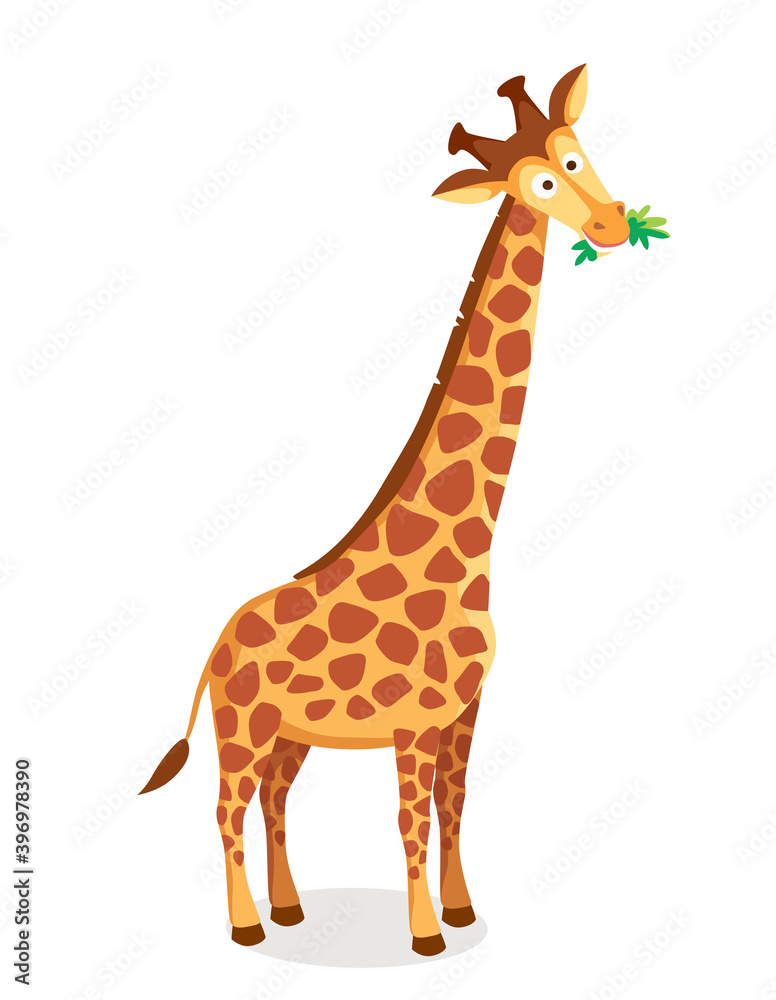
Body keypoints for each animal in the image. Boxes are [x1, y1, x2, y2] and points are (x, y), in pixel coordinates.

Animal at [139, 65, 632, 956]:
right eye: (543, 182)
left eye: (579, 154)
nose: (612, 223)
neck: (469, 553)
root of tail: (216, 647)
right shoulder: (414, 722)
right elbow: (410, 821)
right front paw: (426, 936)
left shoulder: (465, 712)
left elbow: (455, 807)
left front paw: (461, 911)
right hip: (243, 728)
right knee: (227, 807)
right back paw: (247, 927)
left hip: (291, 736)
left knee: (274, 799)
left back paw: (290, 910)